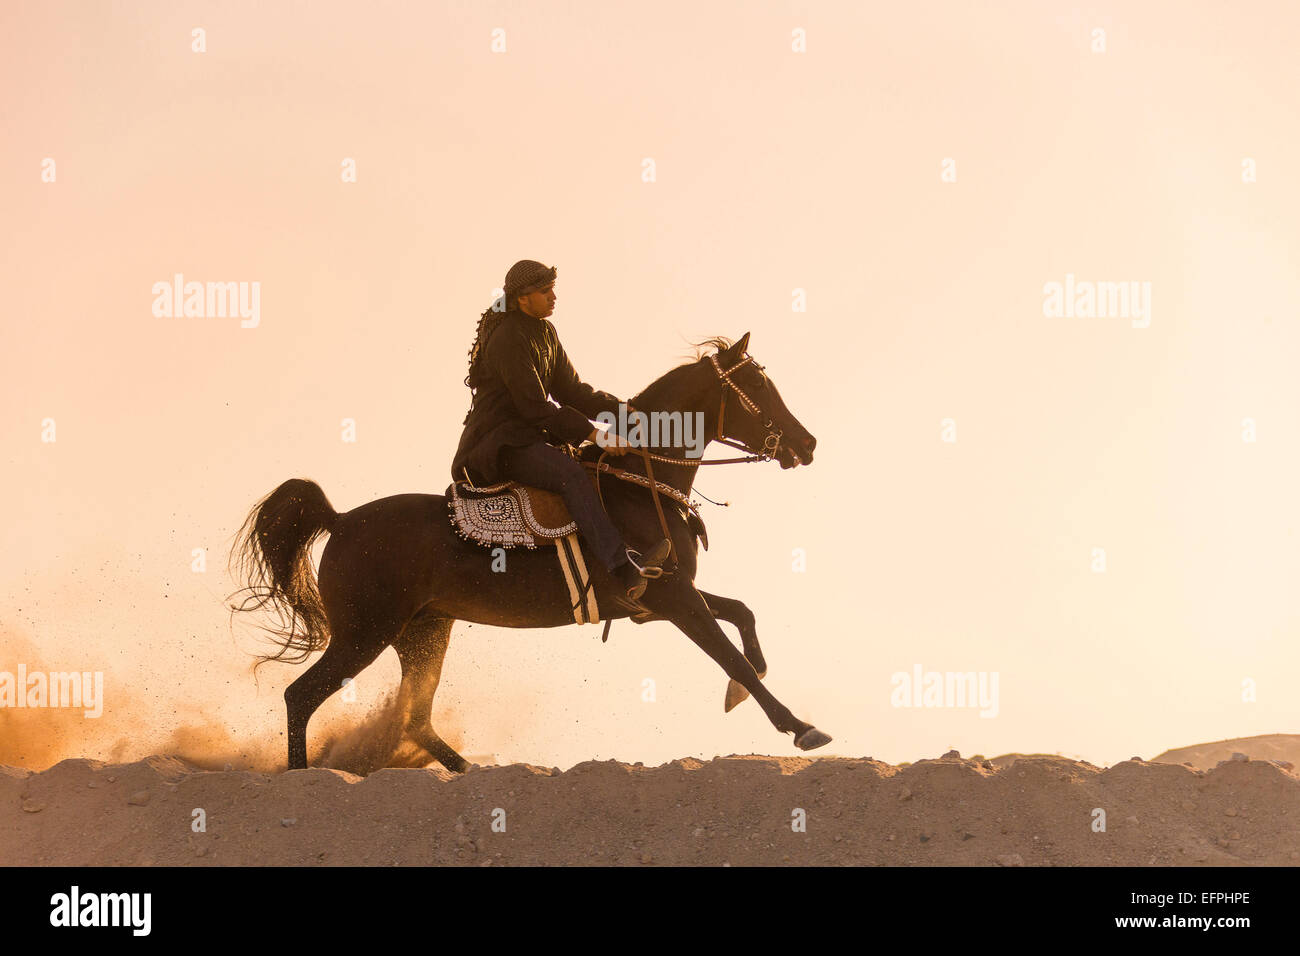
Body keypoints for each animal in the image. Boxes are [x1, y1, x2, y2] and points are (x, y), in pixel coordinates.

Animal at [228, 331, 829, 772]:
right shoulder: (673, 597)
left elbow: (742, 616)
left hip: (423, 632)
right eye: (757, 385)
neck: (641, 485)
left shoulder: (657, 601)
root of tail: (341, 519)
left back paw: (470, 772)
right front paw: (800, 727)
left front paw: (740, 691)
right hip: (364, 634)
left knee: (413, 718)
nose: (807, 443)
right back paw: (303, 776)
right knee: (302, 696)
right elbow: (728, 651)